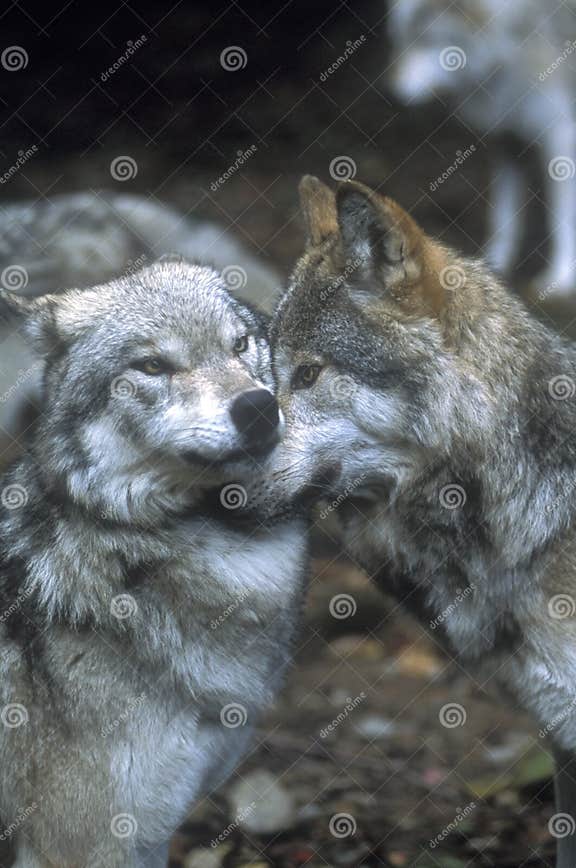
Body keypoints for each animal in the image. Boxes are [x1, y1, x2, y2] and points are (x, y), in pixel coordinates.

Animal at [387, 0, 576, 296]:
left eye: (427, 41)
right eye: (402, 39)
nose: (391, 94)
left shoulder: (559, 136)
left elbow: (561, 220)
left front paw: (562, 278)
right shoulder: (505, 142)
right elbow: (504, 218)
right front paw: (494, 265)